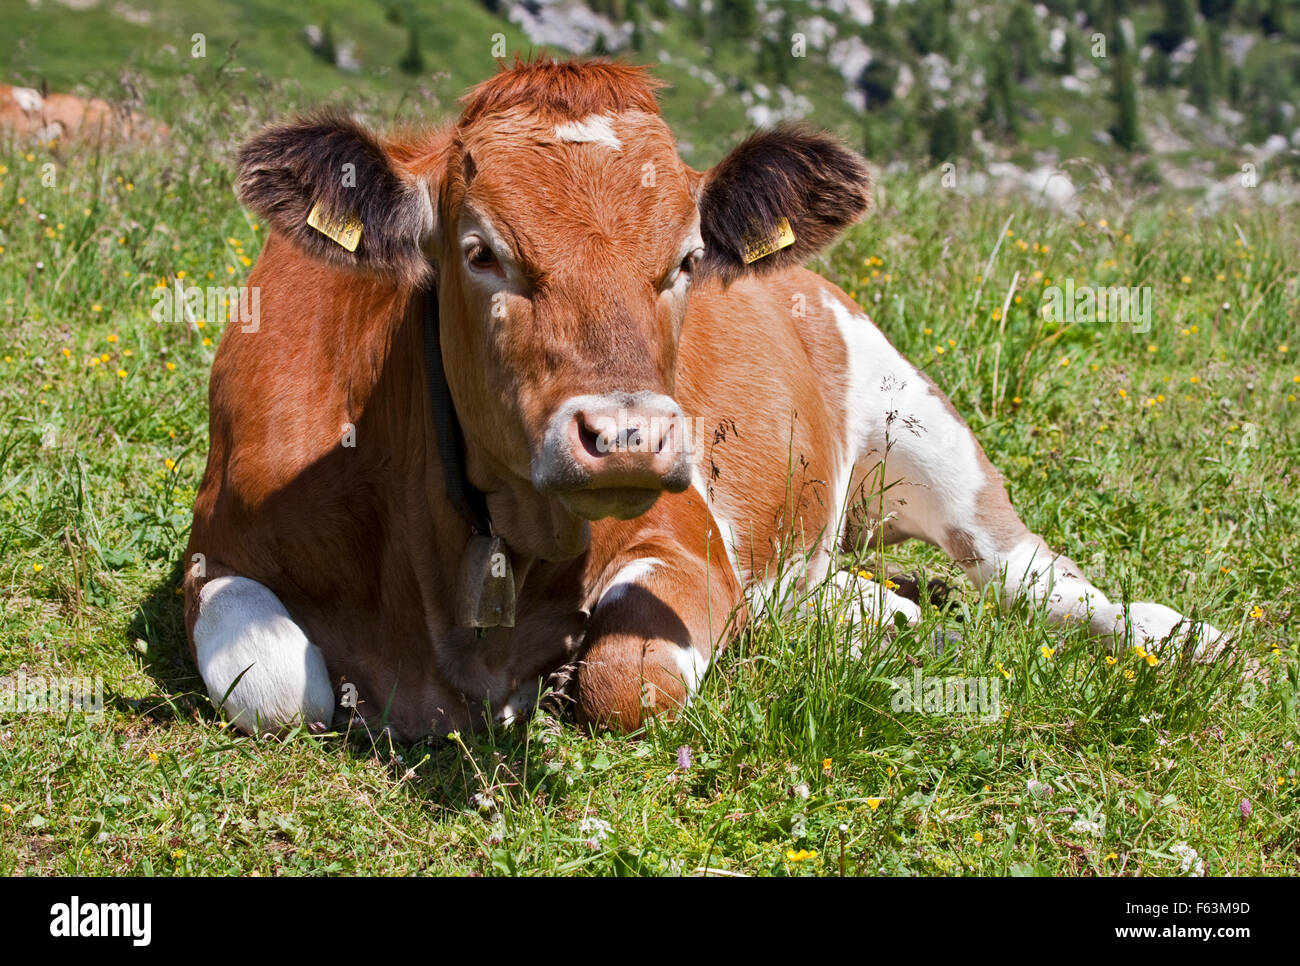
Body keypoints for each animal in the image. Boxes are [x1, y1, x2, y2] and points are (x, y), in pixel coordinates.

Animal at [184, 58, 1223, 740]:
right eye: (480, 251)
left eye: (686, 257)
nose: (627, 436)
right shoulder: (216, 547)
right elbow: (274, 689)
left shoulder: (682, 538)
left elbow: (627, 679)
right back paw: (867, 618)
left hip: (917, 420)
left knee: (1030, 573)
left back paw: (1183, 638)